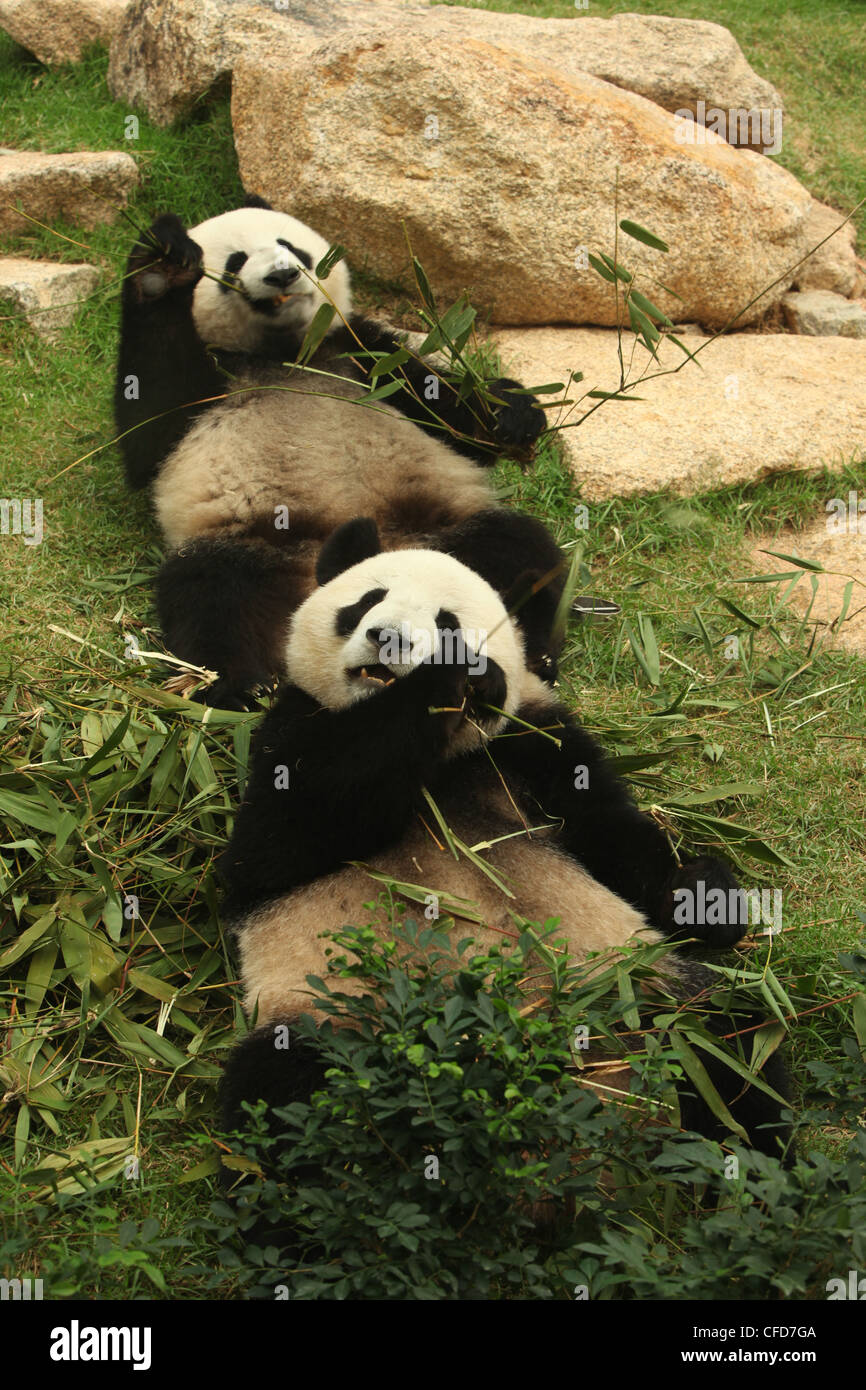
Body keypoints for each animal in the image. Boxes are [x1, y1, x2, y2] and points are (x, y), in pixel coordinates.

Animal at [115, 198, 562, 709]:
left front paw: (515, 412)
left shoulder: (362, 349)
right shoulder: (213, 377)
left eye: (292, 248)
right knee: (210, 595)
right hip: (252, 548)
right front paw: (162, 266)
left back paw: (533, 652)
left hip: (440, 534)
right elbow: (150, 427)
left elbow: (449, 413)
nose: (283, 274)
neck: (288, 350)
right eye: (236, 261)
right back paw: (243, 685)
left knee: (516, 545)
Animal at [219, 518, 791, 1175]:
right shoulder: (292, 730)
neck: (440, 757)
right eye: (366, 601)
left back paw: (749, 1170)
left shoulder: (533, 742)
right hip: (330, 1014)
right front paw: (442, 684)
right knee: (293, 1097)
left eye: (447, 622)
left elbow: (611, 832)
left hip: (633, 986)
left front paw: (708, 899)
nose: (387, 637)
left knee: (730, 1049)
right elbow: (279, 843)